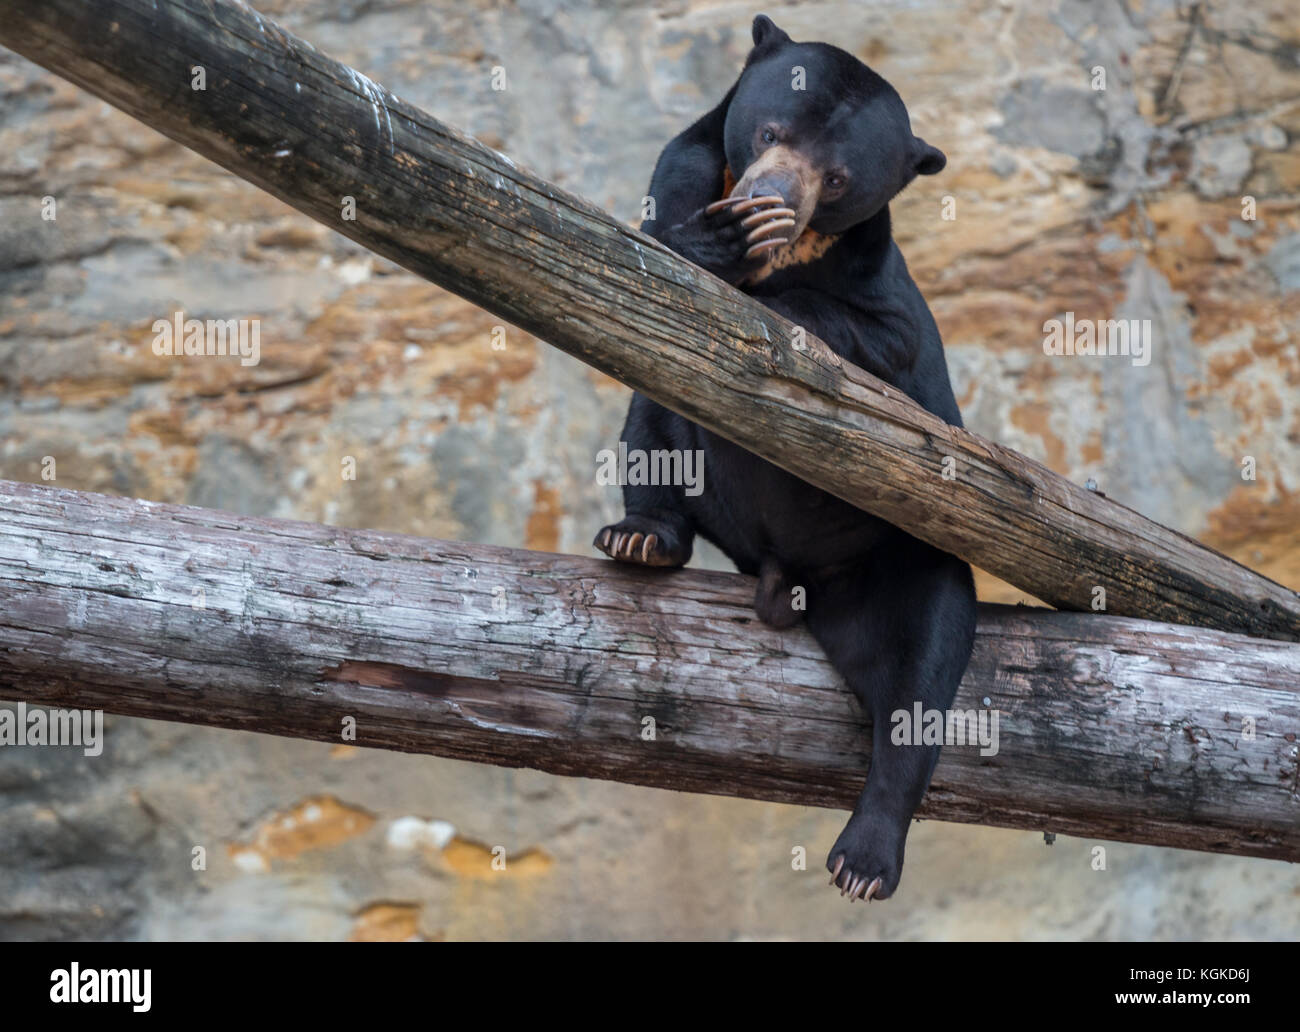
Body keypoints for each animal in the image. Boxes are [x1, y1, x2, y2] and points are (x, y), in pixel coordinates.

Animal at [593, 14, 977, 902]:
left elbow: (881, 341)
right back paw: (640, 537)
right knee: (653, 416)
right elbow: (656, 248)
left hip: (910, 564)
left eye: (835, 180)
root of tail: (785, 578)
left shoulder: (884, 302)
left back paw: (865, 861)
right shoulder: (678, 183)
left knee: (920, 683)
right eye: (768, 133)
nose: (768, 199)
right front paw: (724, 235)